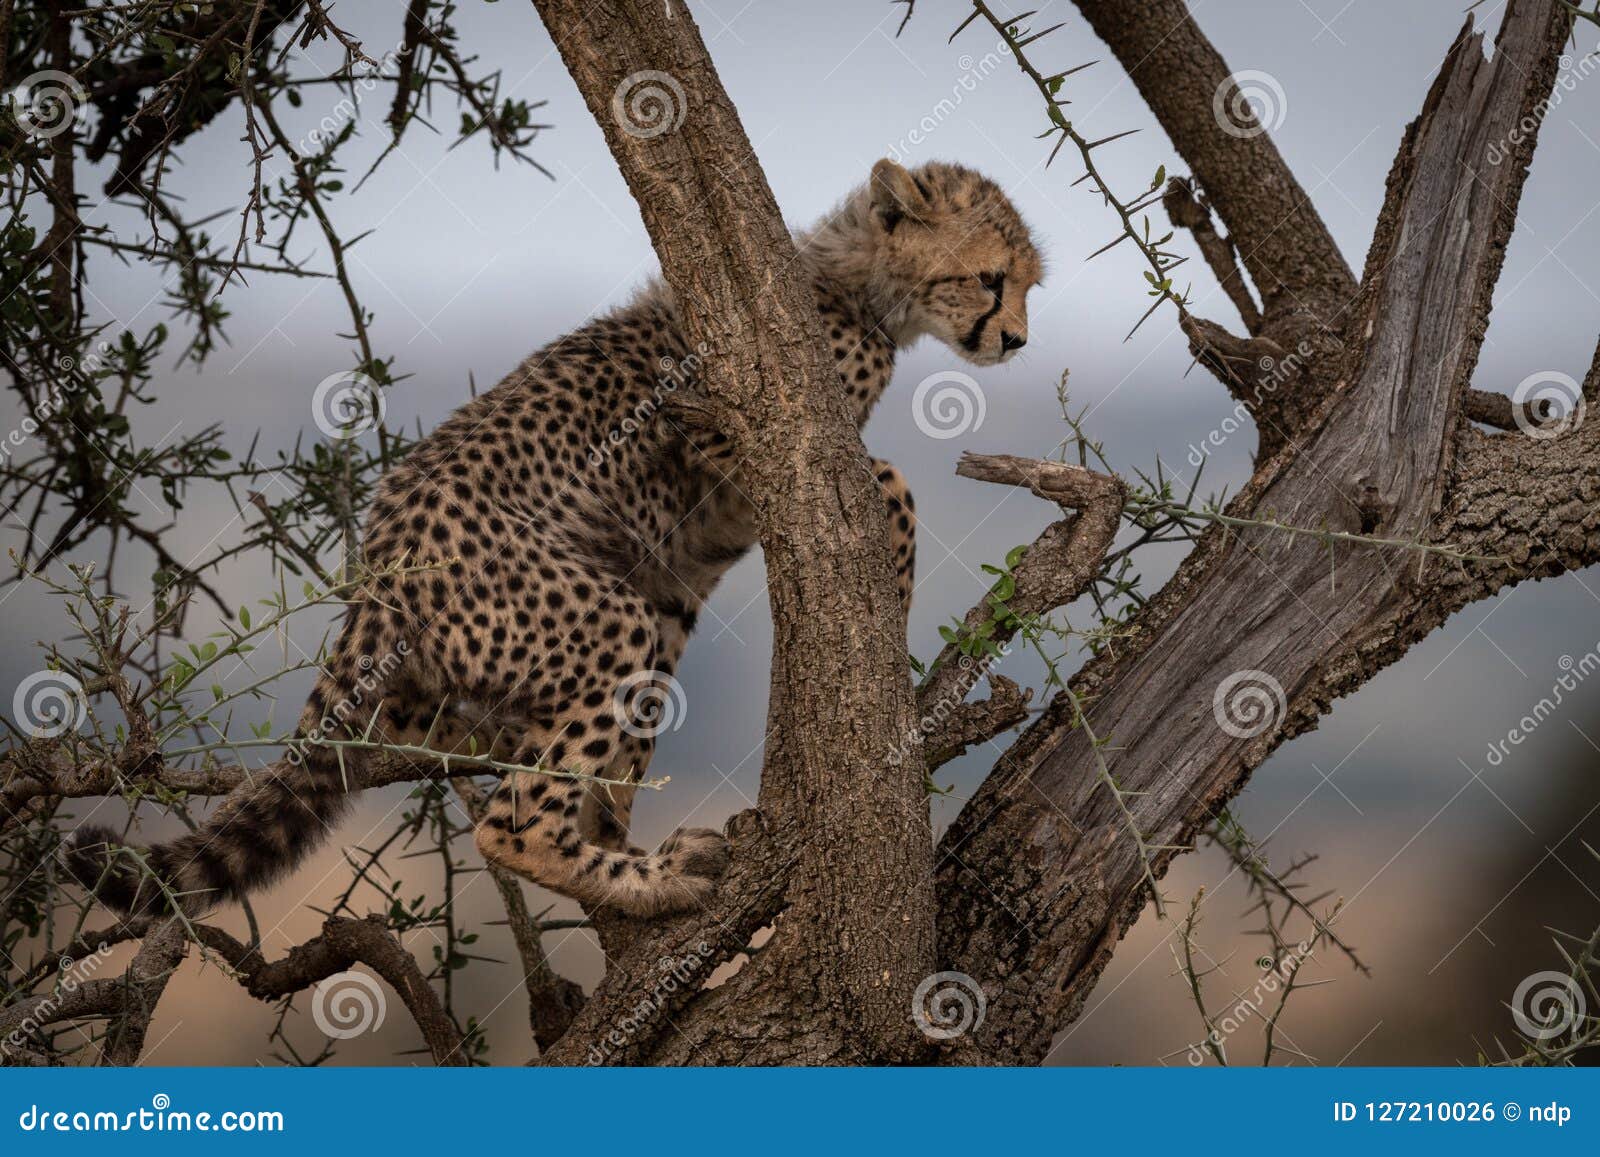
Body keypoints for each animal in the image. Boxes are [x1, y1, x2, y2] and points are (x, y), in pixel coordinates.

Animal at [63, 159, 1041, 921]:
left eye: (1027, 283)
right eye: (992, 278)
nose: (1018, 339)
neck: (861, 283)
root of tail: (375, 573)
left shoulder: (691, 545)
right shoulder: (725, 428)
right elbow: (891, 482)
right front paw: (896, 594)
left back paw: (612, 835)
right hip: (594, 620)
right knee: (513, 823)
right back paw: (646, 878)